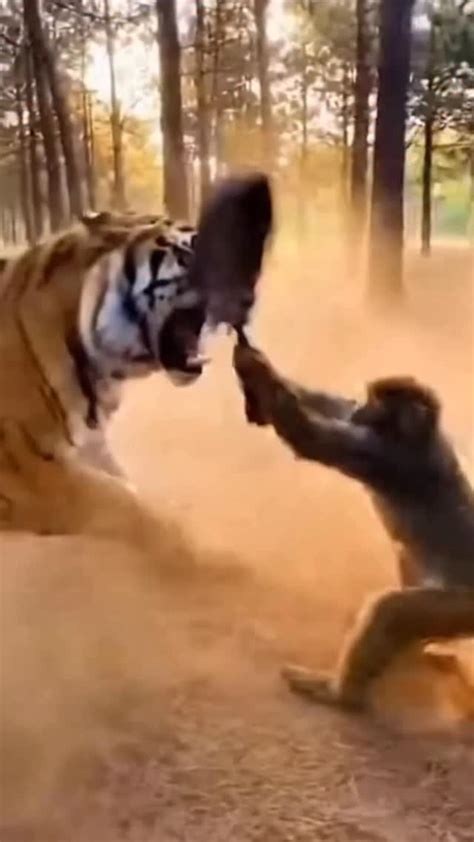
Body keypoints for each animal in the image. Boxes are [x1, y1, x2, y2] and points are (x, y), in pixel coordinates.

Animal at [233, 340, 474, 712]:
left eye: (375, 404)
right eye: (367, 400)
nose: (361, 409)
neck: (420, 436)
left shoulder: (385, 455)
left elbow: (312, 440)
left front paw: (257, 372)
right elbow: (333, 407)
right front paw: (257, 366)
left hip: (463, 604)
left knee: (392, 612)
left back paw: (342, 695)